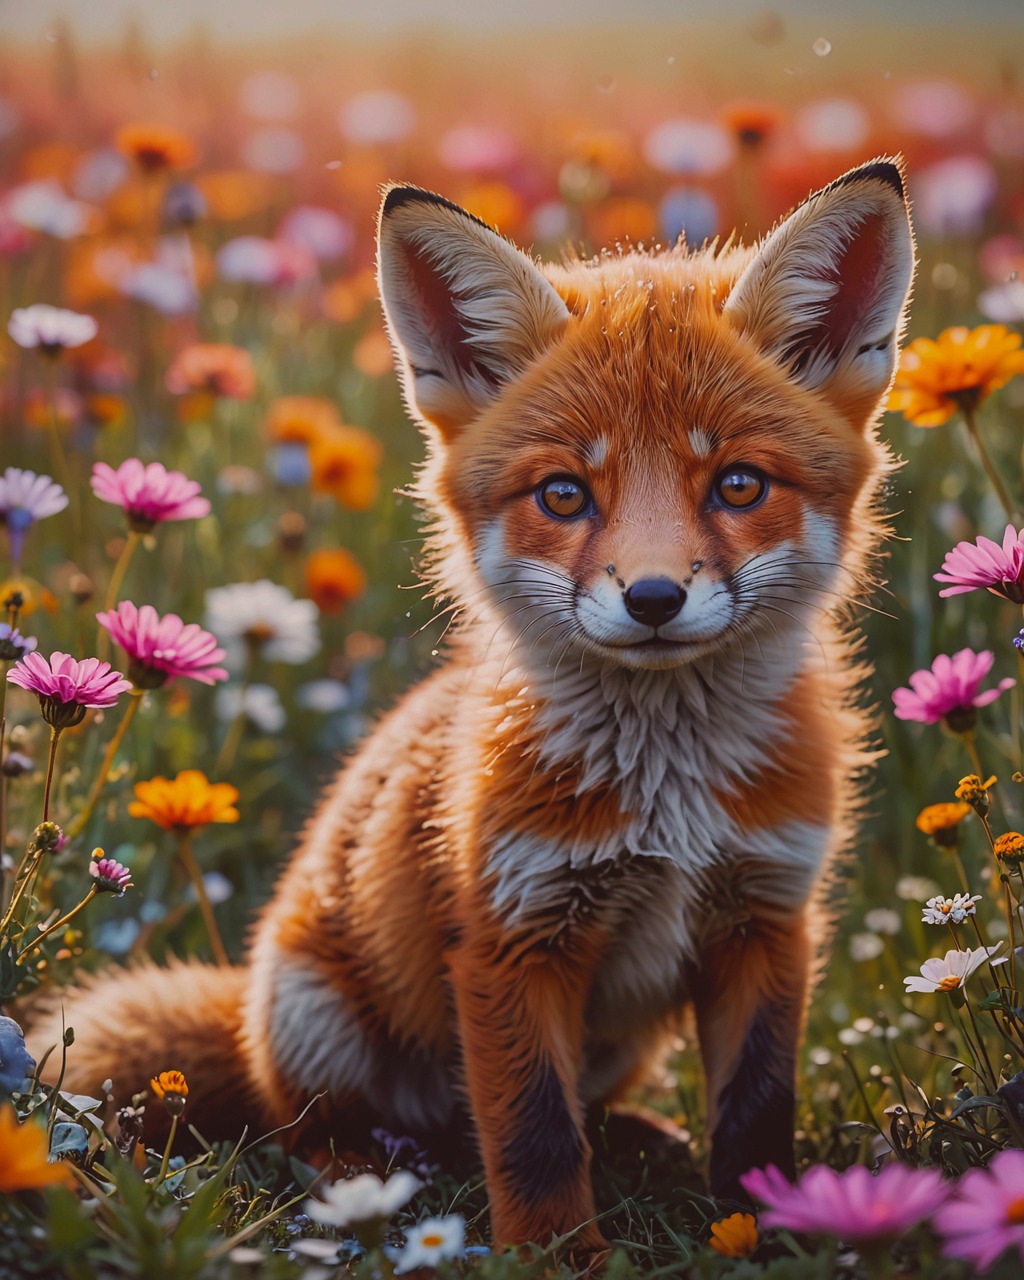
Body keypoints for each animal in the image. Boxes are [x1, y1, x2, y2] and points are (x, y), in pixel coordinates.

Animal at [28, 158, 915, 1254]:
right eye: (565, 494)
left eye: (740, 485)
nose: (653, 598)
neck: (669, 801)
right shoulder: (509, 938)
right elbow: (535, 1139)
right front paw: (559, 1259)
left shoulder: (767, 916)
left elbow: (754, 1112)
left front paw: (771, 1227)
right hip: (318, 1024)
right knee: (311, 1130)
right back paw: (361, 1186)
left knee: (572, 1115)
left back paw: (642, 1140)